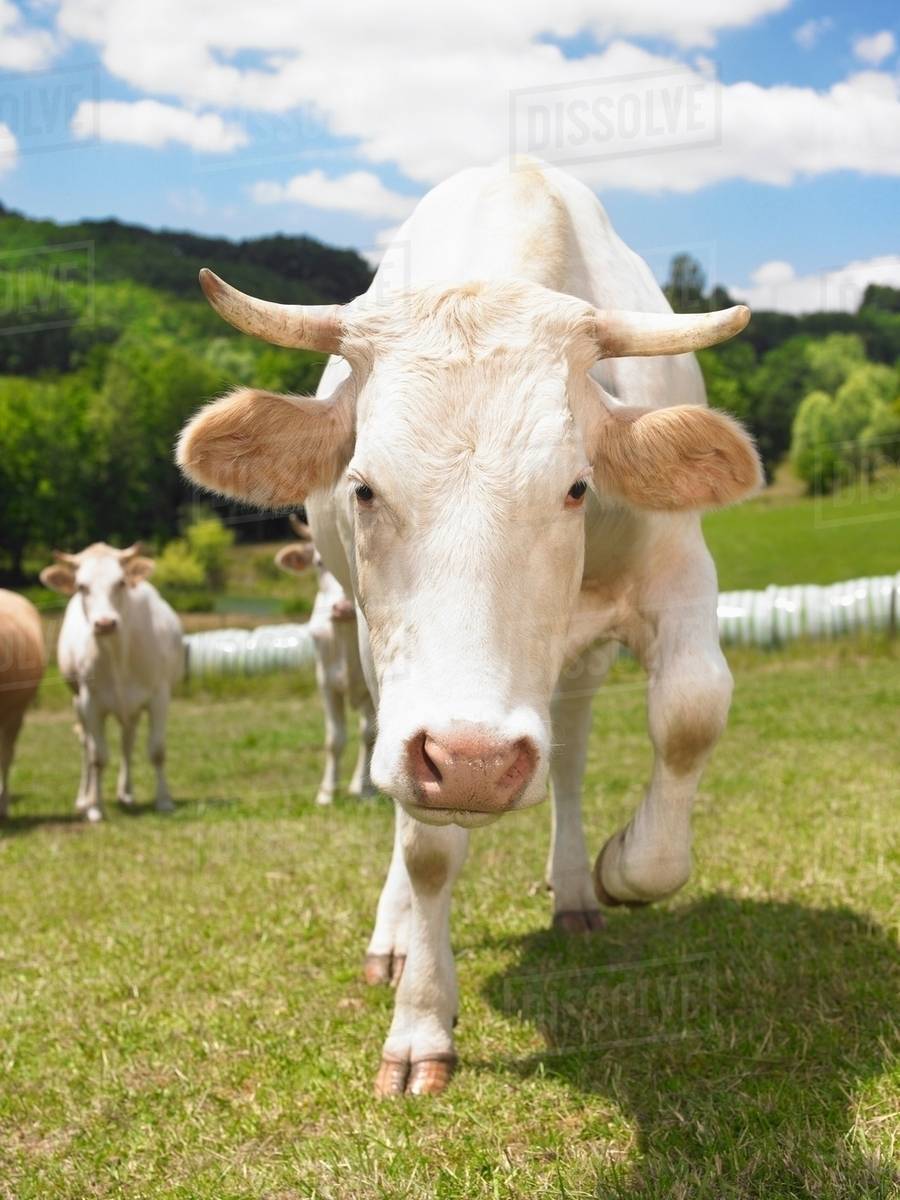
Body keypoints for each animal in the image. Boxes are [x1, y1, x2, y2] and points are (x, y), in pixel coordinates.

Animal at [40, 543, 184, 822]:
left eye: (121, 582)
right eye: (81, 586)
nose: (105, 623)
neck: (118, 652)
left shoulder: (159, 696)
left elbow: (157, 750)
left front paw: (164, 800)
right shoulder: (90, 701)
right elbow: (98, 756)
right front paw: (95, 807)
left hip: (132, 709)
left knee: (127, 743)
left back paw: (125, 793)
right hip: (78, 703)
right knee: (86, 747)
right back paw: (84, 799)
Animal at [275, 515, 376, 807]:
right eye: (320, 563)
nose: (342, 608)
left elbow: (368, 736)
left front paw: (365, 790)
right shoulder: (326, 684)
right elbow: (334, 739)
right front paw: (327, 792)